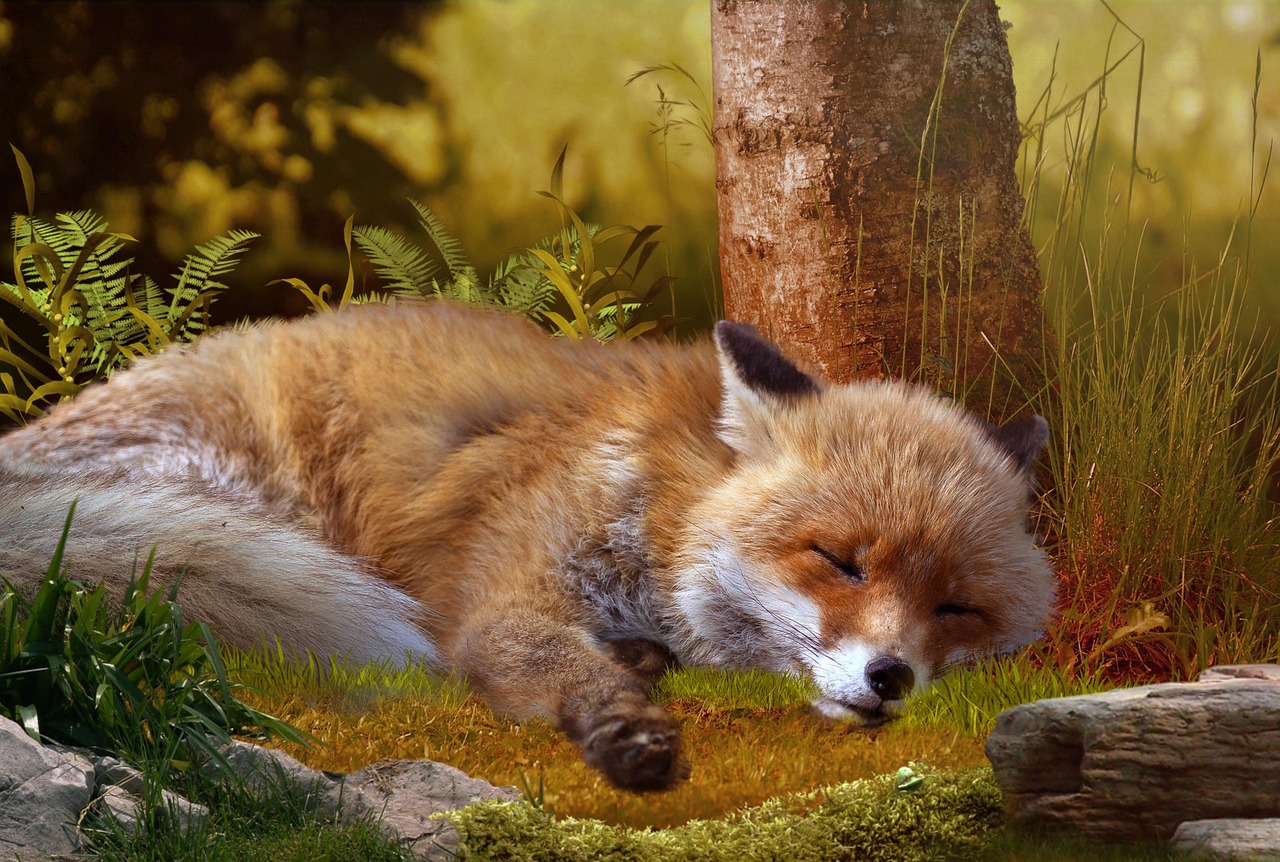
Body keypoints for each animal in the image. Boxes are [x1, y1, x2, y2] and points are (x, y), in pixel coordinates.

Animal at [0, 300, 1054, 791]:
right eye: (838, 561)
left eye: (956, 608)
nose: (891, 678)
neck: (656, 498)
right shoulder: (506, 598)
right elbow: (540, 660)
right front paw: (626, 727)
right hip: (233, 497)